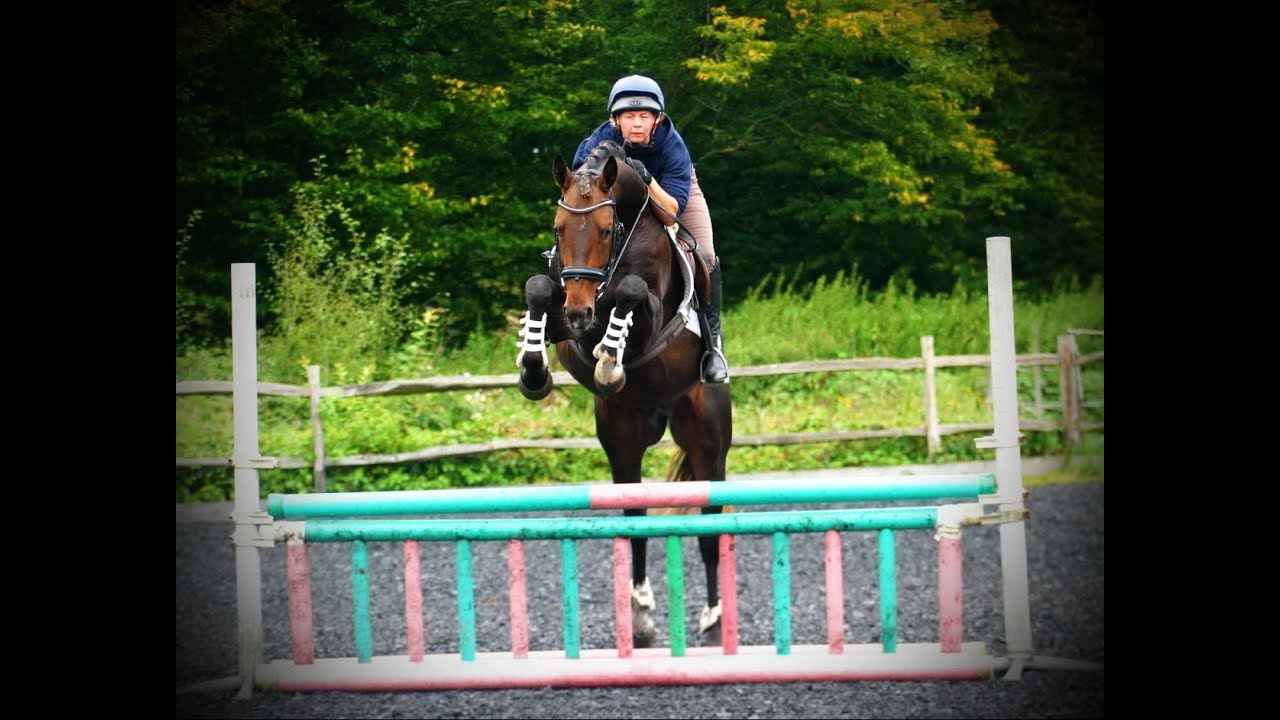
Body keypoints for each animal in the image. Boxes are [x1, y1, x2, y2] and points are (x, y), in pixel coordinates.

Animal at [514, 140, 733, 647]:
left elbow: (630, 293)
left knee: (710, 528)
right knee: (635, 519)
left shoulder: (648, 318)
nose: (578, 312)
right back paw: (641, 614)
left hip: (708, 444)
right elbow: (539, 289)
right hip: (623, 439)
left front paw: (610, 360)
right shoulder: (569, 315)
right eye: (558, 228)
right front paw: (533, 368)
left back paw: (713, 619)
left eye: (603, 228)